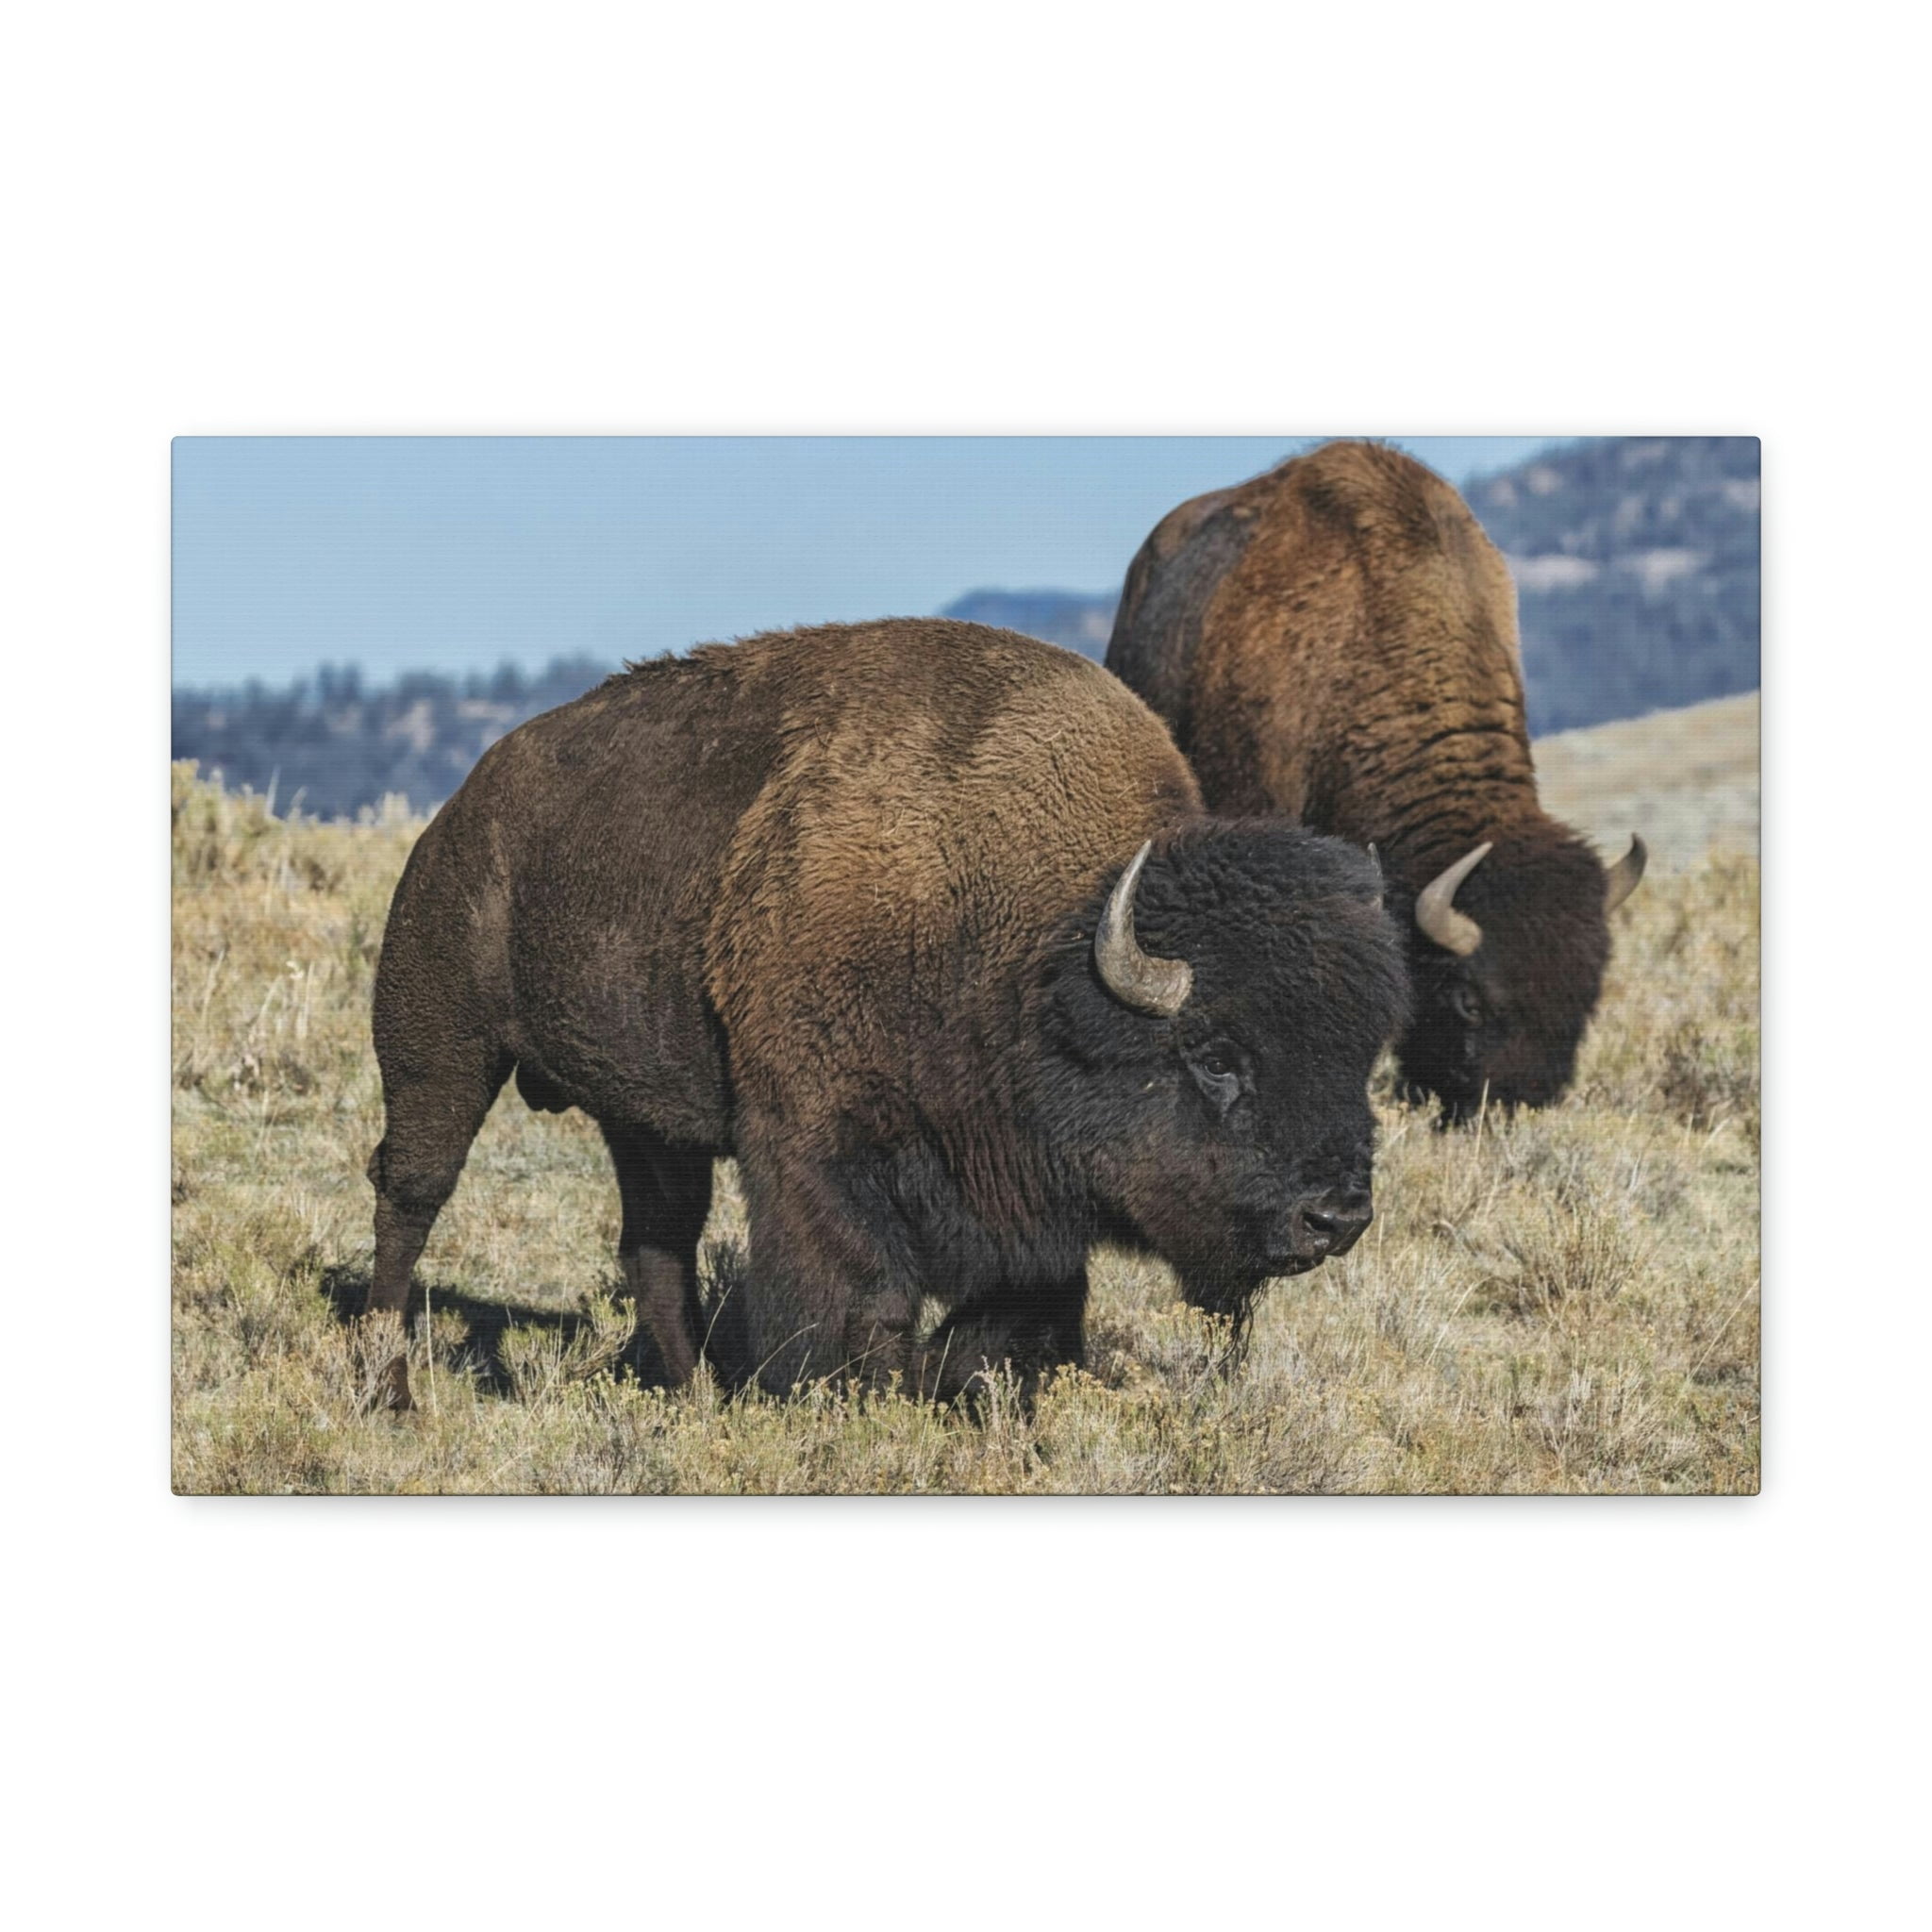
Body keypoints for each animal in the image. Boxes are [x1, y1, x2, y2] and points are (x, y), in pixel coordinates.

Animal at [365, 619, 1406, 1408]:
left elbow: (1014, 1315)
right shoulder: (817, 1144)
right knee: (411, 1190)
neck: (1030, 946)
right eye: (1215, 1054)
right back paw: (390, 1387)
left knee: (655, 1242)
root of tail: (466, 803)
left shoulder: (1021, 1202)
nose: (1335, 1216)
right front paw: (863, 1398)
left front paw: (949, 1385)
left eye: (1359, 1056)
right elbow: (864, 1297)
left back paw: (696, 1398)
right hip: (440, 1043)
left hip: (644, 1118)